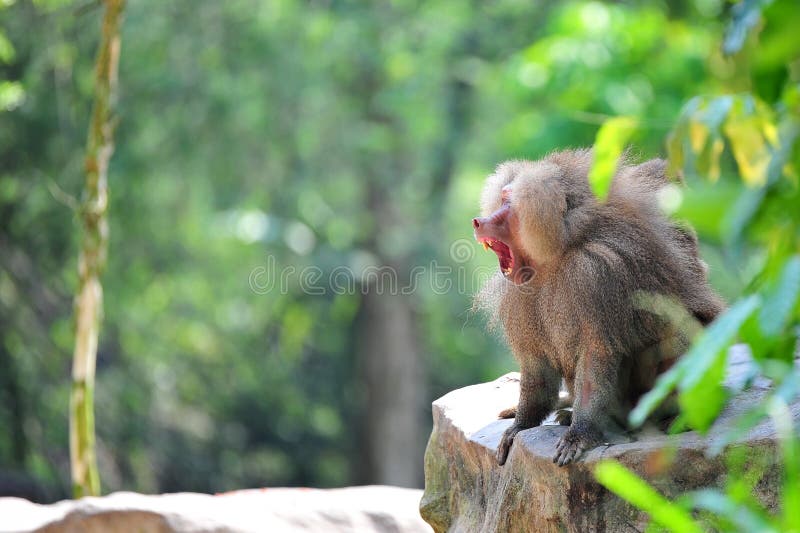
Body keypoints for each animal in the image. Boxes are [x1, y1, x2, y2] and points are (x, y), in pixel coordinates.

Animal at [472, 149, 724, 467]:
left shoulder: (597, 274)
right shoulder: (521, 294)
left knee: (679, 332)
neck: (558, 254)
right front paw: (521, 425)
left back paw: (680, 416)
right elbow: (535, 365)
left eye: (508, 203)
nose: (478, 221)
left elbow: (597, 355)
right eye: (503, 197)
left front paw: (579, 436)